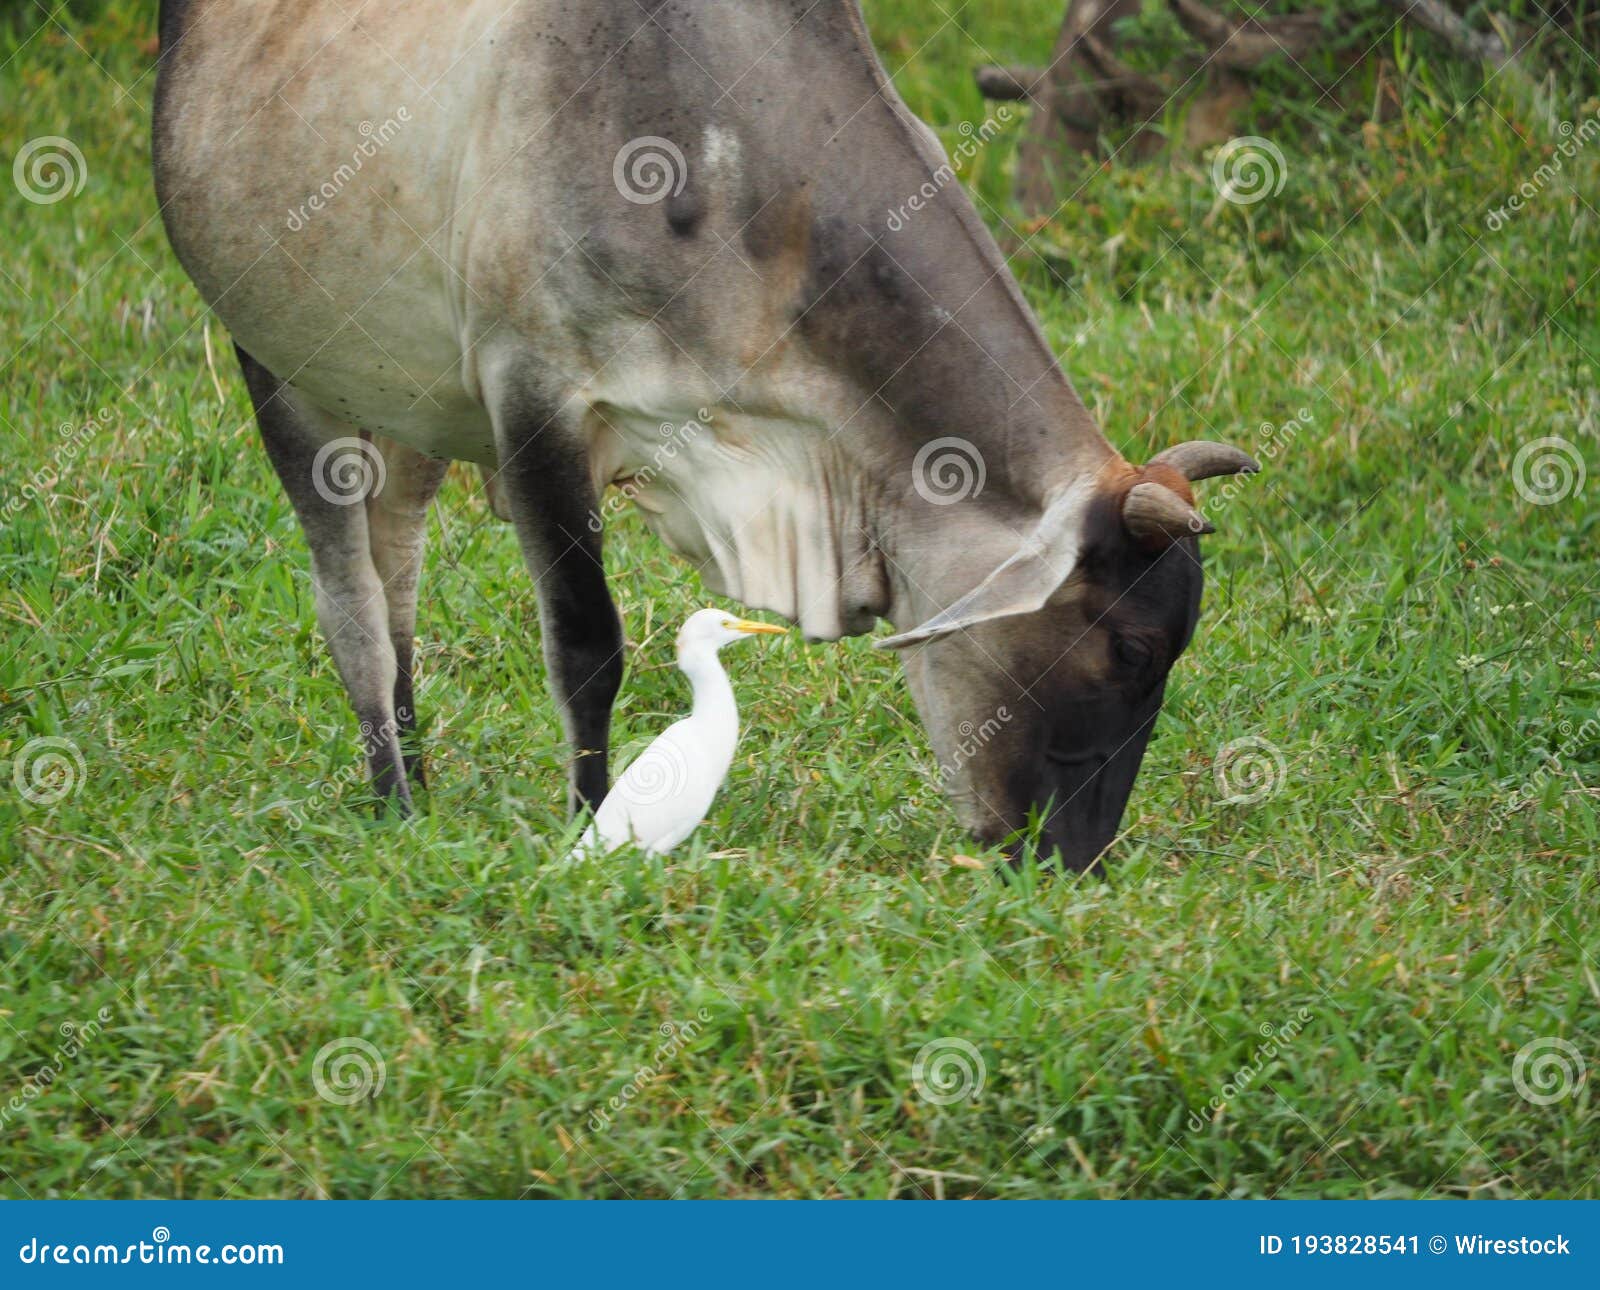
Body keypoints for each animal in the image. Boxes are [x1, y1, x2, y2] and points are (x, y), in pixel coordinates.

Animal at [151, 0, 1257, 871]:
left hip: (402, 412)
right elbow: (588, 646)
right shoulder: (533, 394)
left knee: (398, 587)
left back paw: (421, 779)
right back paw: (394, 799)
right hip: (284, 373)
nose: (1075, 859)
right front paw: (591, 820)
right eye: (1128, 646)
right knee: (352, 608)